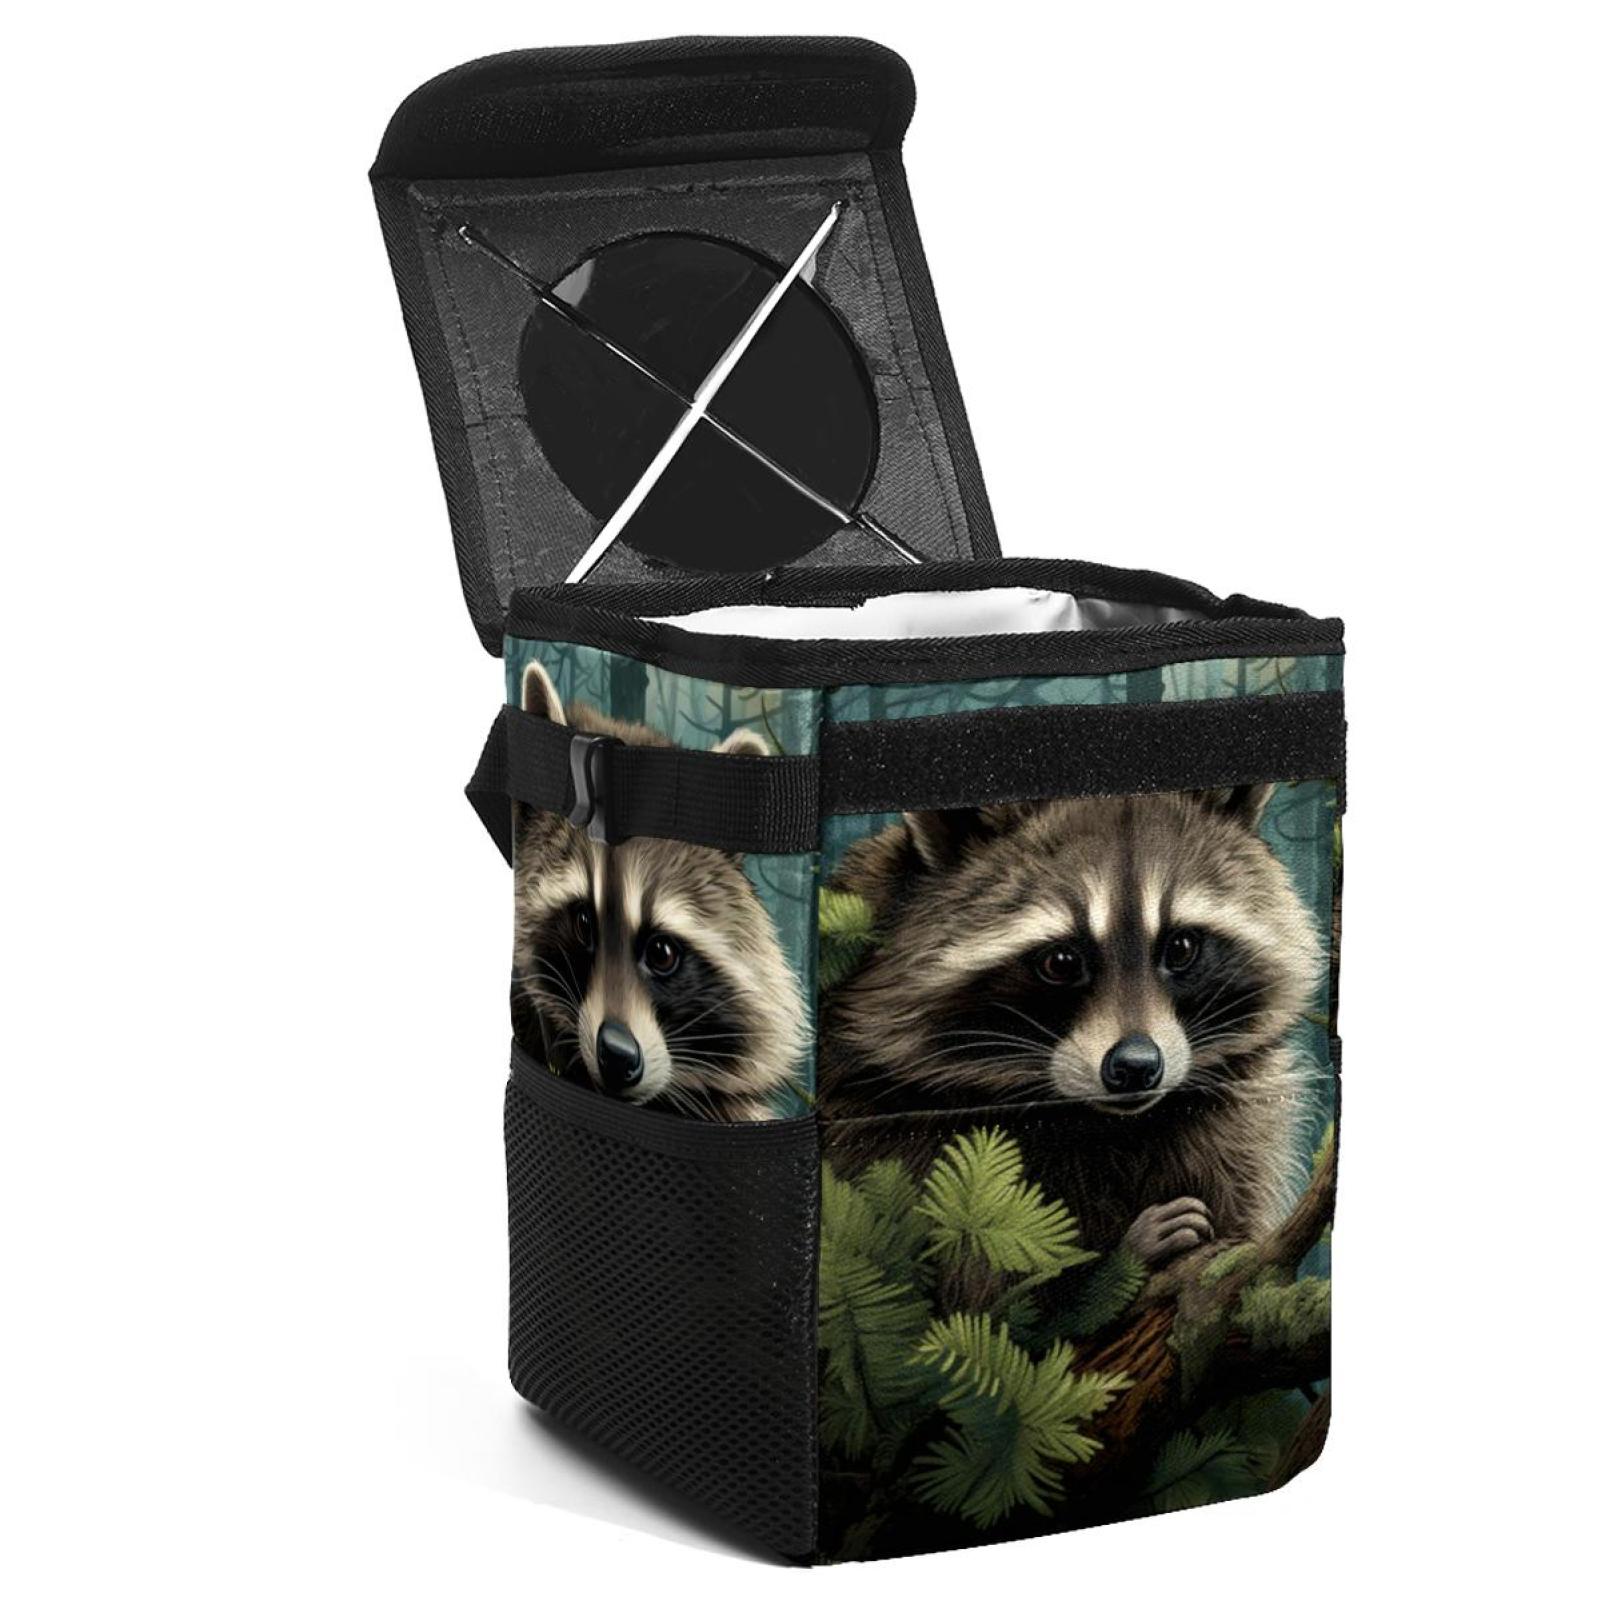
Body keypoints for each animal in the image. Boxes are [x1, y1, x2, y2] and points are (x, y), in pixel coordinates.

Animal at [819, 788, 1323, 1263]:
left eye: (1181, 948)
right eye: (1061, 962)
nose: (1137, 1066)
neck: (1105, 1124)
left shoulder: (1238, 1120)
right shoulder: (885, 1128)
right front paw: (1128, 1249)